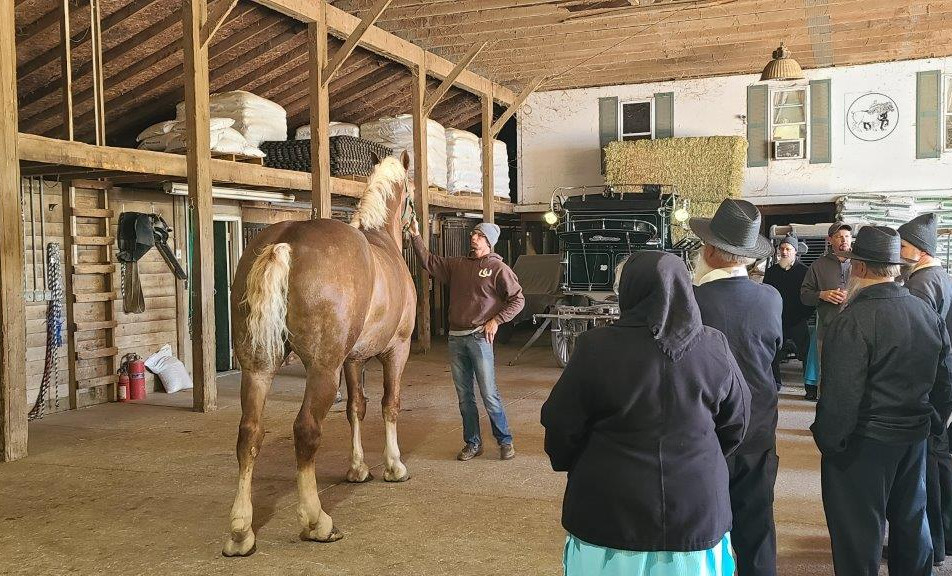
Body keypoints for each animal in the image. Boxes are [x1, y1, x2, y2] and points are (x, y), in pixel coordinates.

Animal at [222, 153, 417, 557]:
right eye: (411, 194)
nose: (415, 226)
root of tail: (285, 242)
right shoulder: (396, 349)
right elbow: (389, 405)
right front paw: (394, 467)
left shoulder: (353, 359)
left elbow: (356, 408)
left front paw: (358, 470)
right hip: (323, 370)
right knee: (306, 430)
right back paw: (316, 522)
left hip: (257, 367)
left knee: (249, 434)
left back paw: (240, 532)